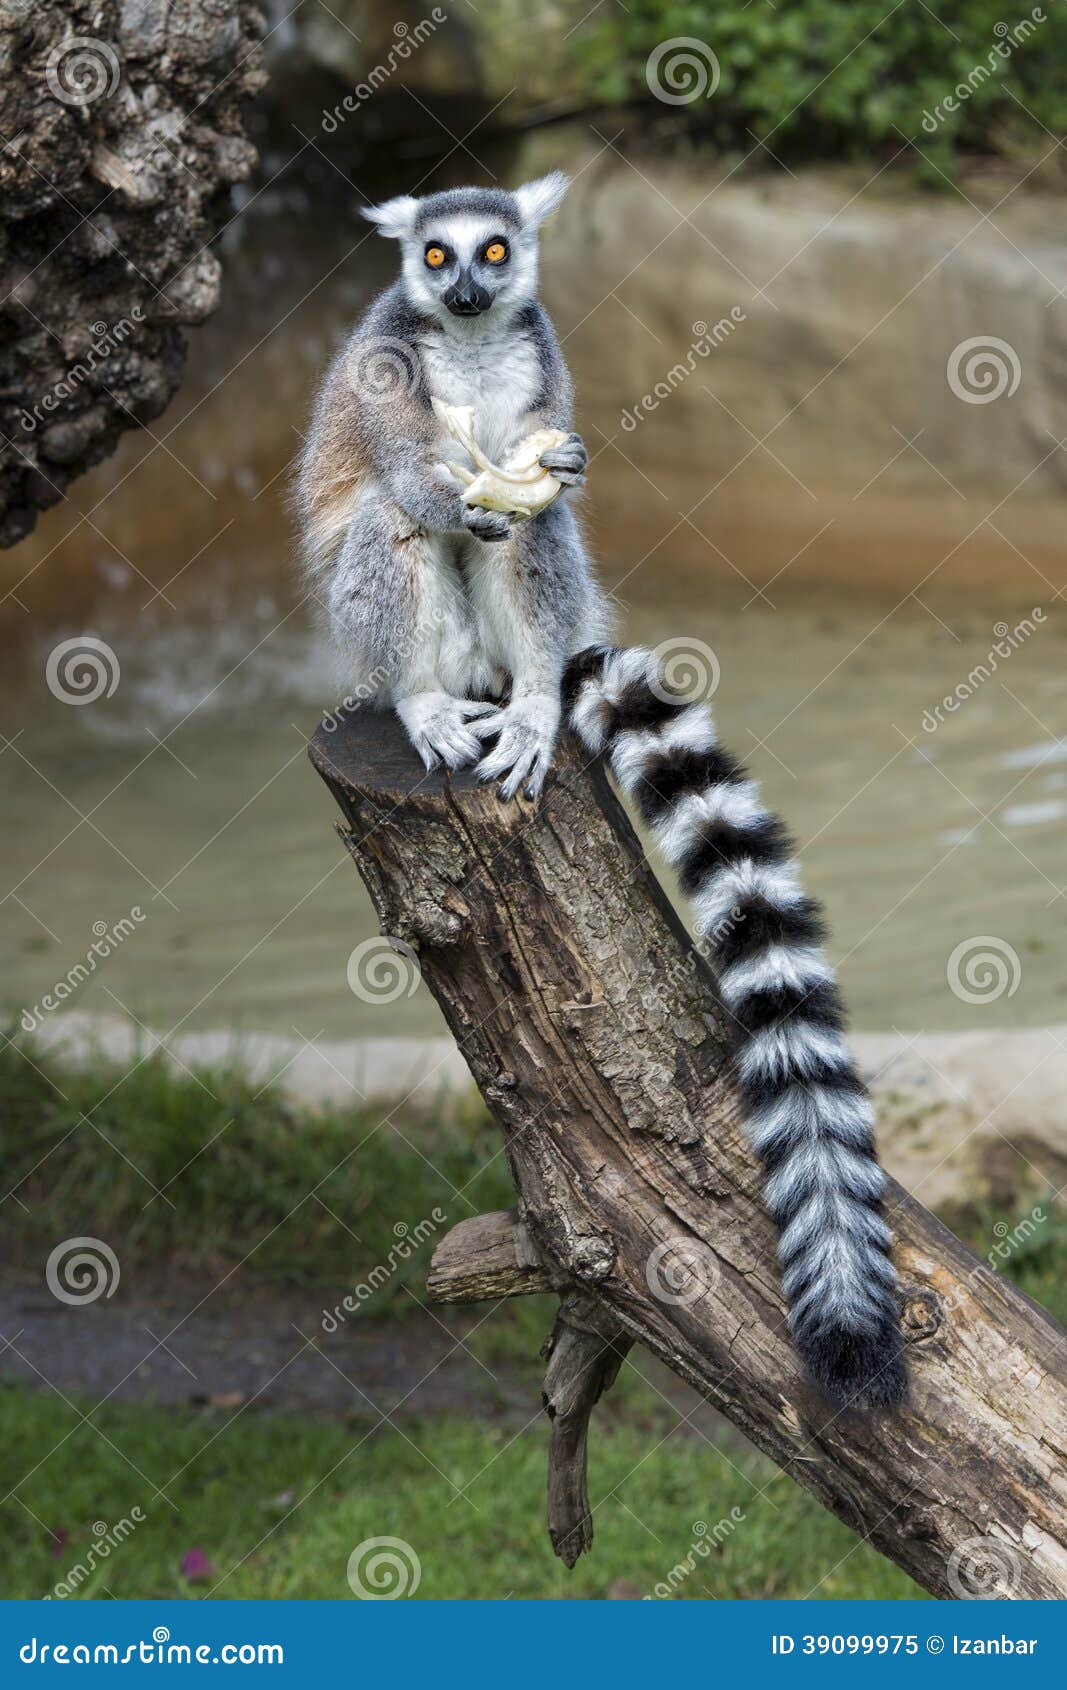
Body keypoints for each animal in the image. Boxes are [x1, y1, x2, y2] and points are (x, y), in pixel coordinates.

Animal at [296, 175, 906, 1410]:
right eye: (435, 257)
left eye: (492, 251)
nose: (466, 291)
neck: (473, 347)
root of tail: (478, 674)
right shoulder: (391, 369)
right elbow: (419, 479)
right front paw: (461, 497)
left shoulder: (541, 372)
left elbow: (547, 473)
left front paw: (551, 474)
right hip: (370, 625)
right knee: (398, 525)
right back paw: (425, 704)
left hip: (526, 623)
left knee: (537, 539)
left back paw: (531, 699)